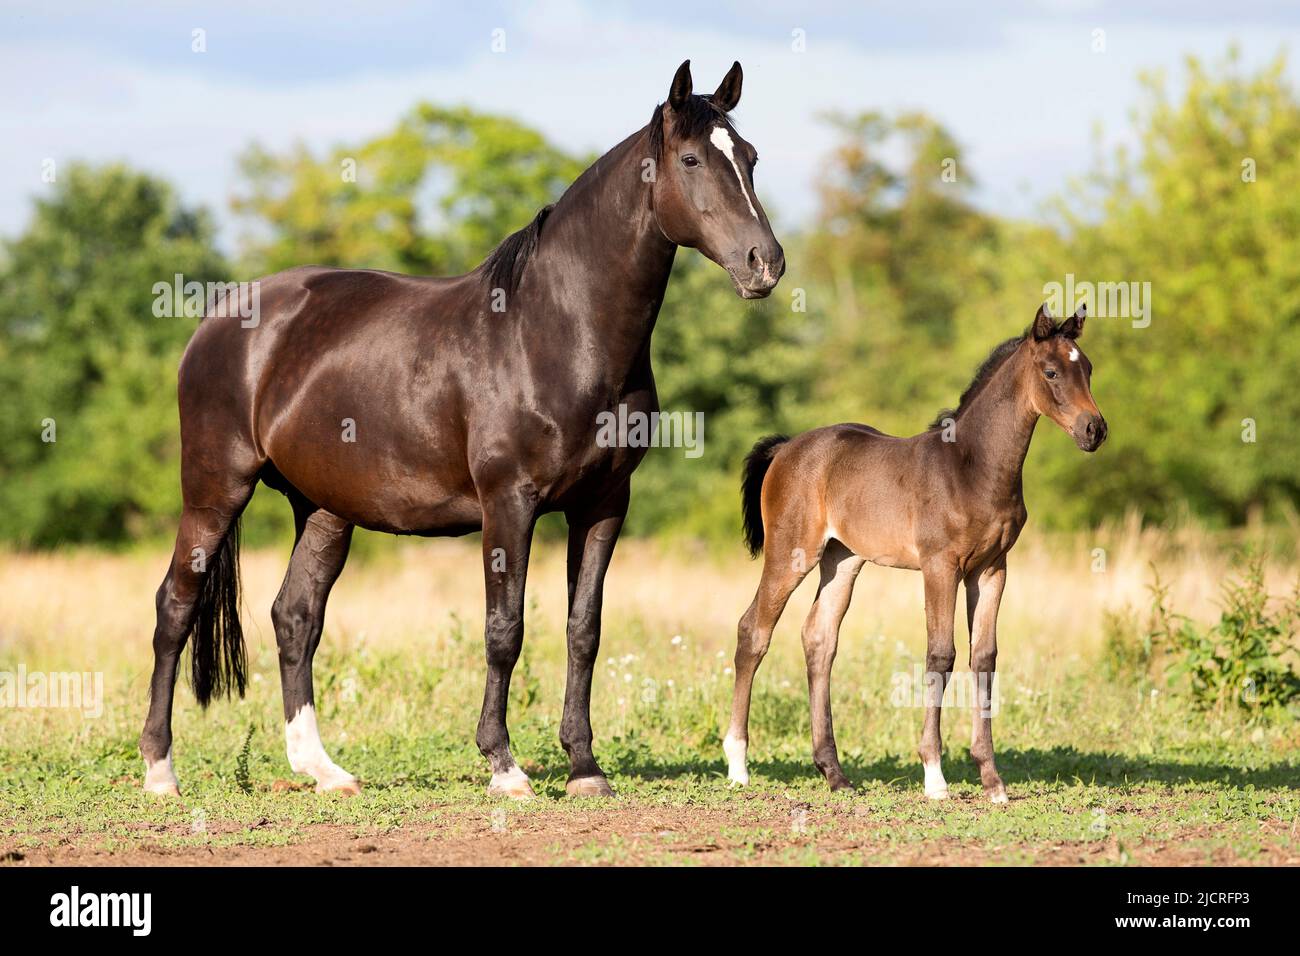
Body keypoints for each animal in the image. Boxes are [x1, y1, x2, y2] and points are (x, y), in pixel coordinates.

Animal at [139, 59, 784, 800]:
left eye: (750, 157)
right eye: (691, 159)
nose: (766, 263)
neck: (554, 331)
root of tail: (221, 316)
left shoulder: (603, 504)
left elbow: (584, 630)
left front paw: (584, 768)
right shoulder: (509, 502)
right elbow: (505, 628)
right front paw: (504, 765)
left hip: (325, 509)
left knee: (295, 618)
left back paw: (323, 769)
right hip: (215, 490)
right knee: (174, 608)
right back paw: (160, 770)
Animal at [724, 303, 1105, 802]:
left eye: (1089, 368)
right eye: (1052, 371)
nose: (1094, 429)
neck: (971, 467)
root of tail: (787, 447)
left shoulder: (992, 569)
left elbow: (984, 658)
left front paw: (992, 780)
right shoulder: (940, 565)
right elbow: (940, 655)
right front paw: (934, 775)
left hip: (842, 560)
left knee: (819, 638)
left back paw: (834, 772)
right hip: (792, 553)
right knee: (754, 630)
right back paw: (738, 765)